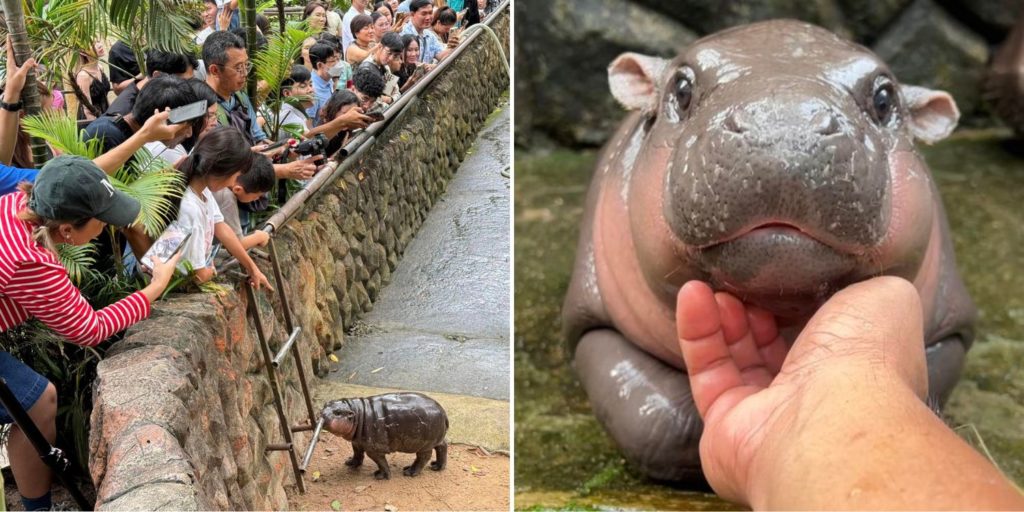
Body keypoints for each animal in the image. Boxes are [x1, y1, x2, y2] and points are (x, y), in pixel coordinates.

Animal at [562, 19, 976, 483]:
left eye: (885, 98)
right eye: (681, 88)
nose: (784, 126)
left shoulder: (951, 331)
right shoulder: (590, 323)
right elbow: (657, 419)